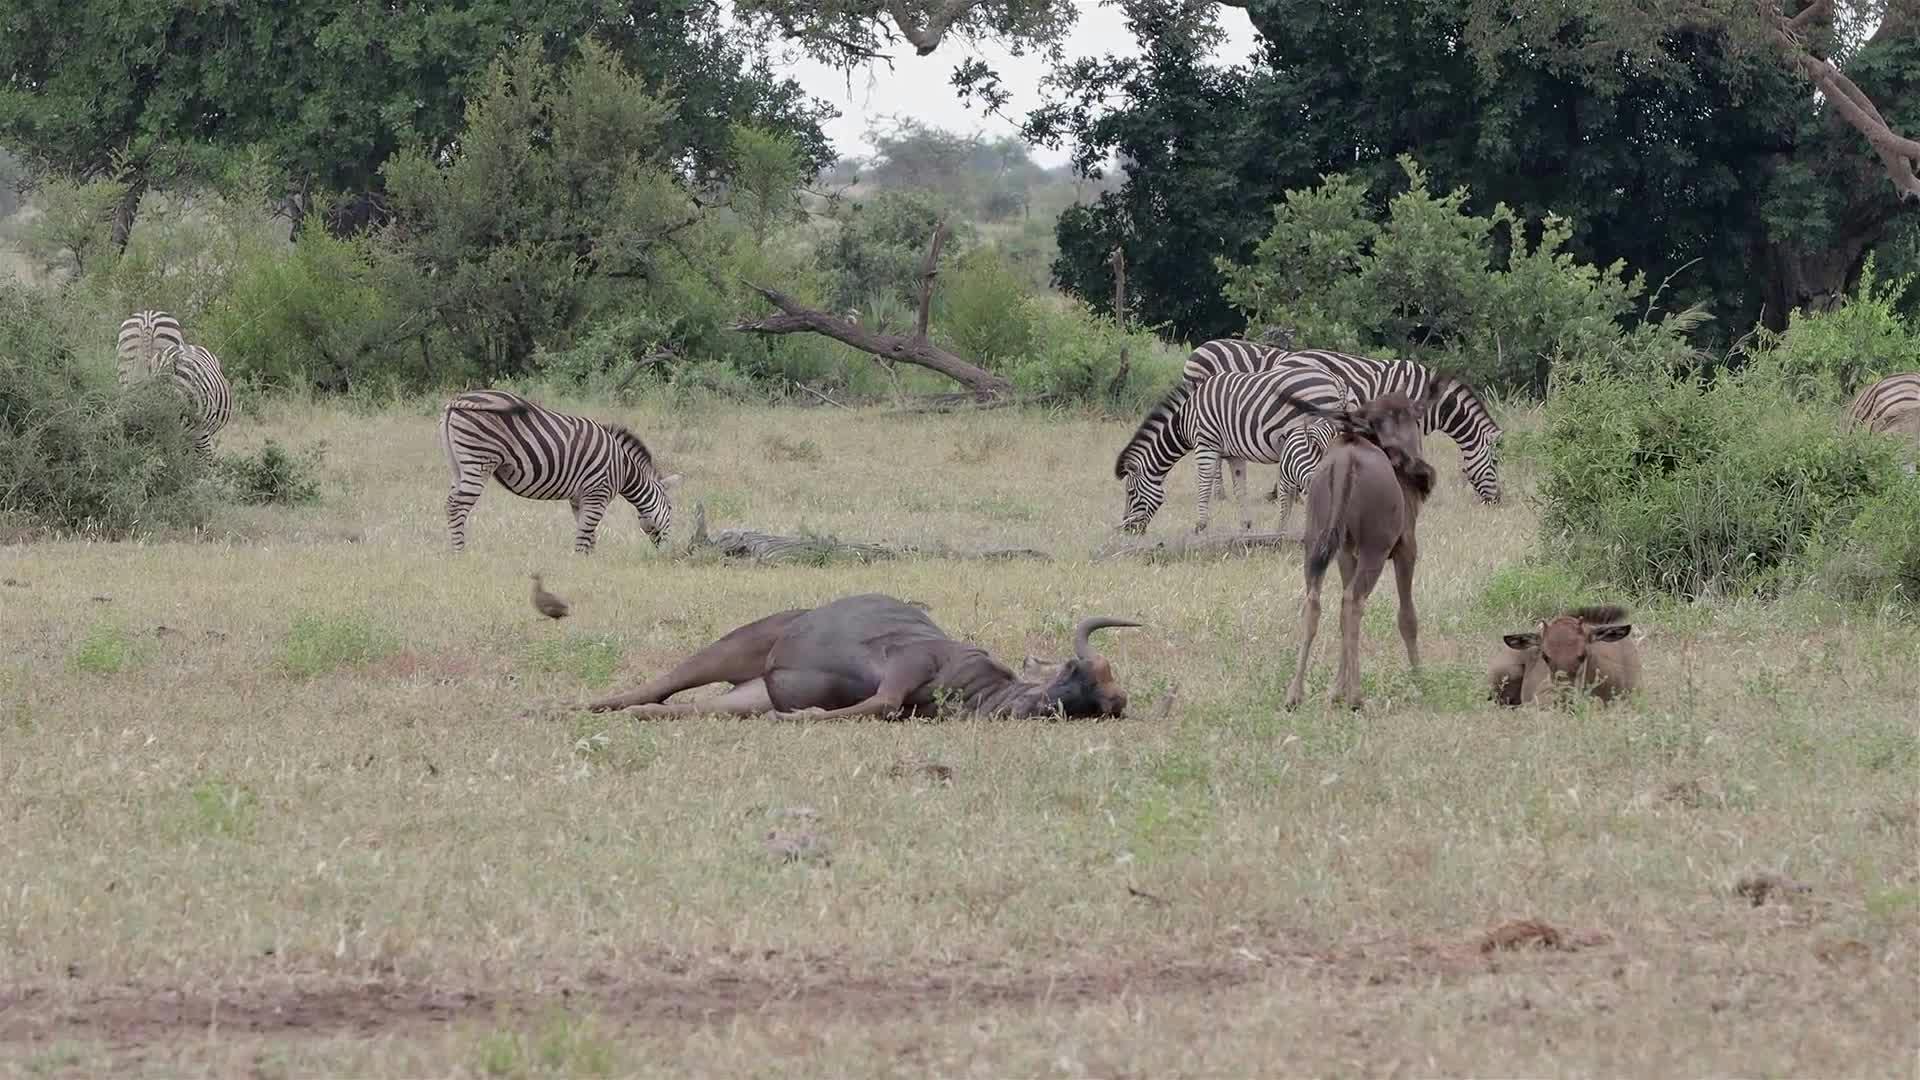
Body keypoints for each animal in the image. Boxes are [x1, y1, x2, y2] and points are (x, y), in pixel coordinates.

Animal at [439, 389, 680, 554]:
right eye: (670, 507)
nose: (667, 550)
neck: (623, 467)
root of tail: (456, 400)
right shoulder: (598, 493)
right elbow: (586, 531)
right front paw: (581, 563)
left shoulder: (579, 498)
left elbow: (588, 532)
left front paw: (589, 561)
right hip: (478, 460)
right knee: (457, 506)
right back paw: (461, 552)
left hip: (457, 465)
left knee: (449, 504)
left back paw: (454, 549)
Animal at [1114, 365, 1351, 534]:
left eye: (1130, 492)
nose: (1128, 530)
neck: (1184, 419)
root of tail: (1335, 379)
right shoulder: (1234, 455)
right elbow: (1240, 489)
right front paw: (1245, 525)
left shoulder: (1205, 444)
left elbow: (1204, 485)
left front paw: (1200, 526)